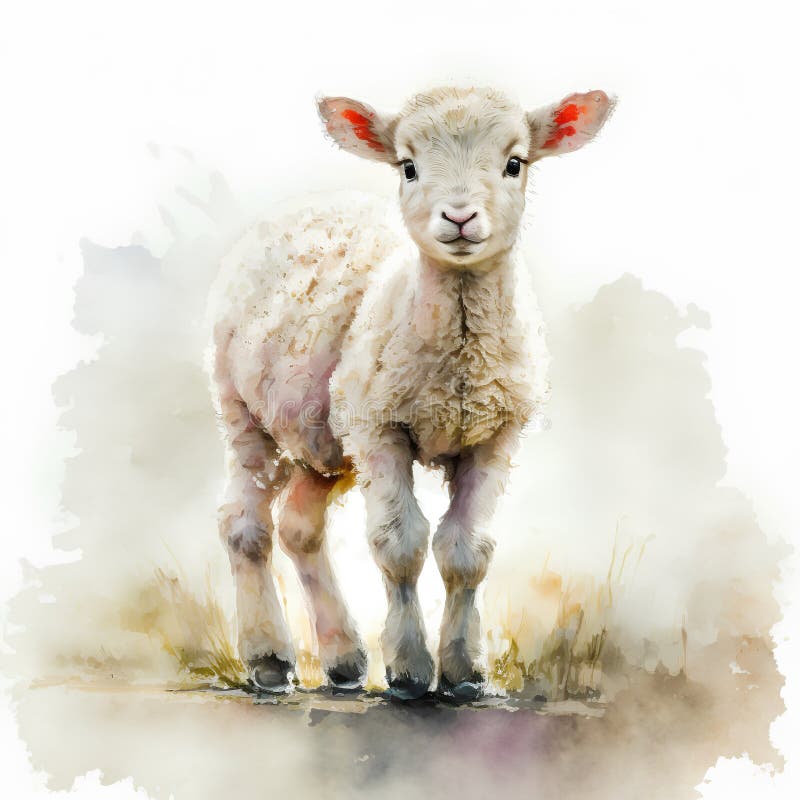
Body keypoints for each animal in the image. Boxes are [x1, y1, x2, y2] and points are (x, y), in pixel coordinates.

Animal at [209, 86, 614, 701]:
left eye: (514, 163)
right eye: (408, 166)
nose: (460, 216)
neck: (460, 367)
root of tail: (305, 204)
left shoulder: (496, 434)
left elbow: (468, 551)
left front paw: (464, 673)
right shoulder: (380, 429)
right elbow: (399, 544)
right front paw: (407, 671)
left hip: (324, 435)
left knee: (301, 525)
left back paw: (344, 660)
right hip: (246, 411)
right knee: (244, 524)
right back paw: (269, 659)